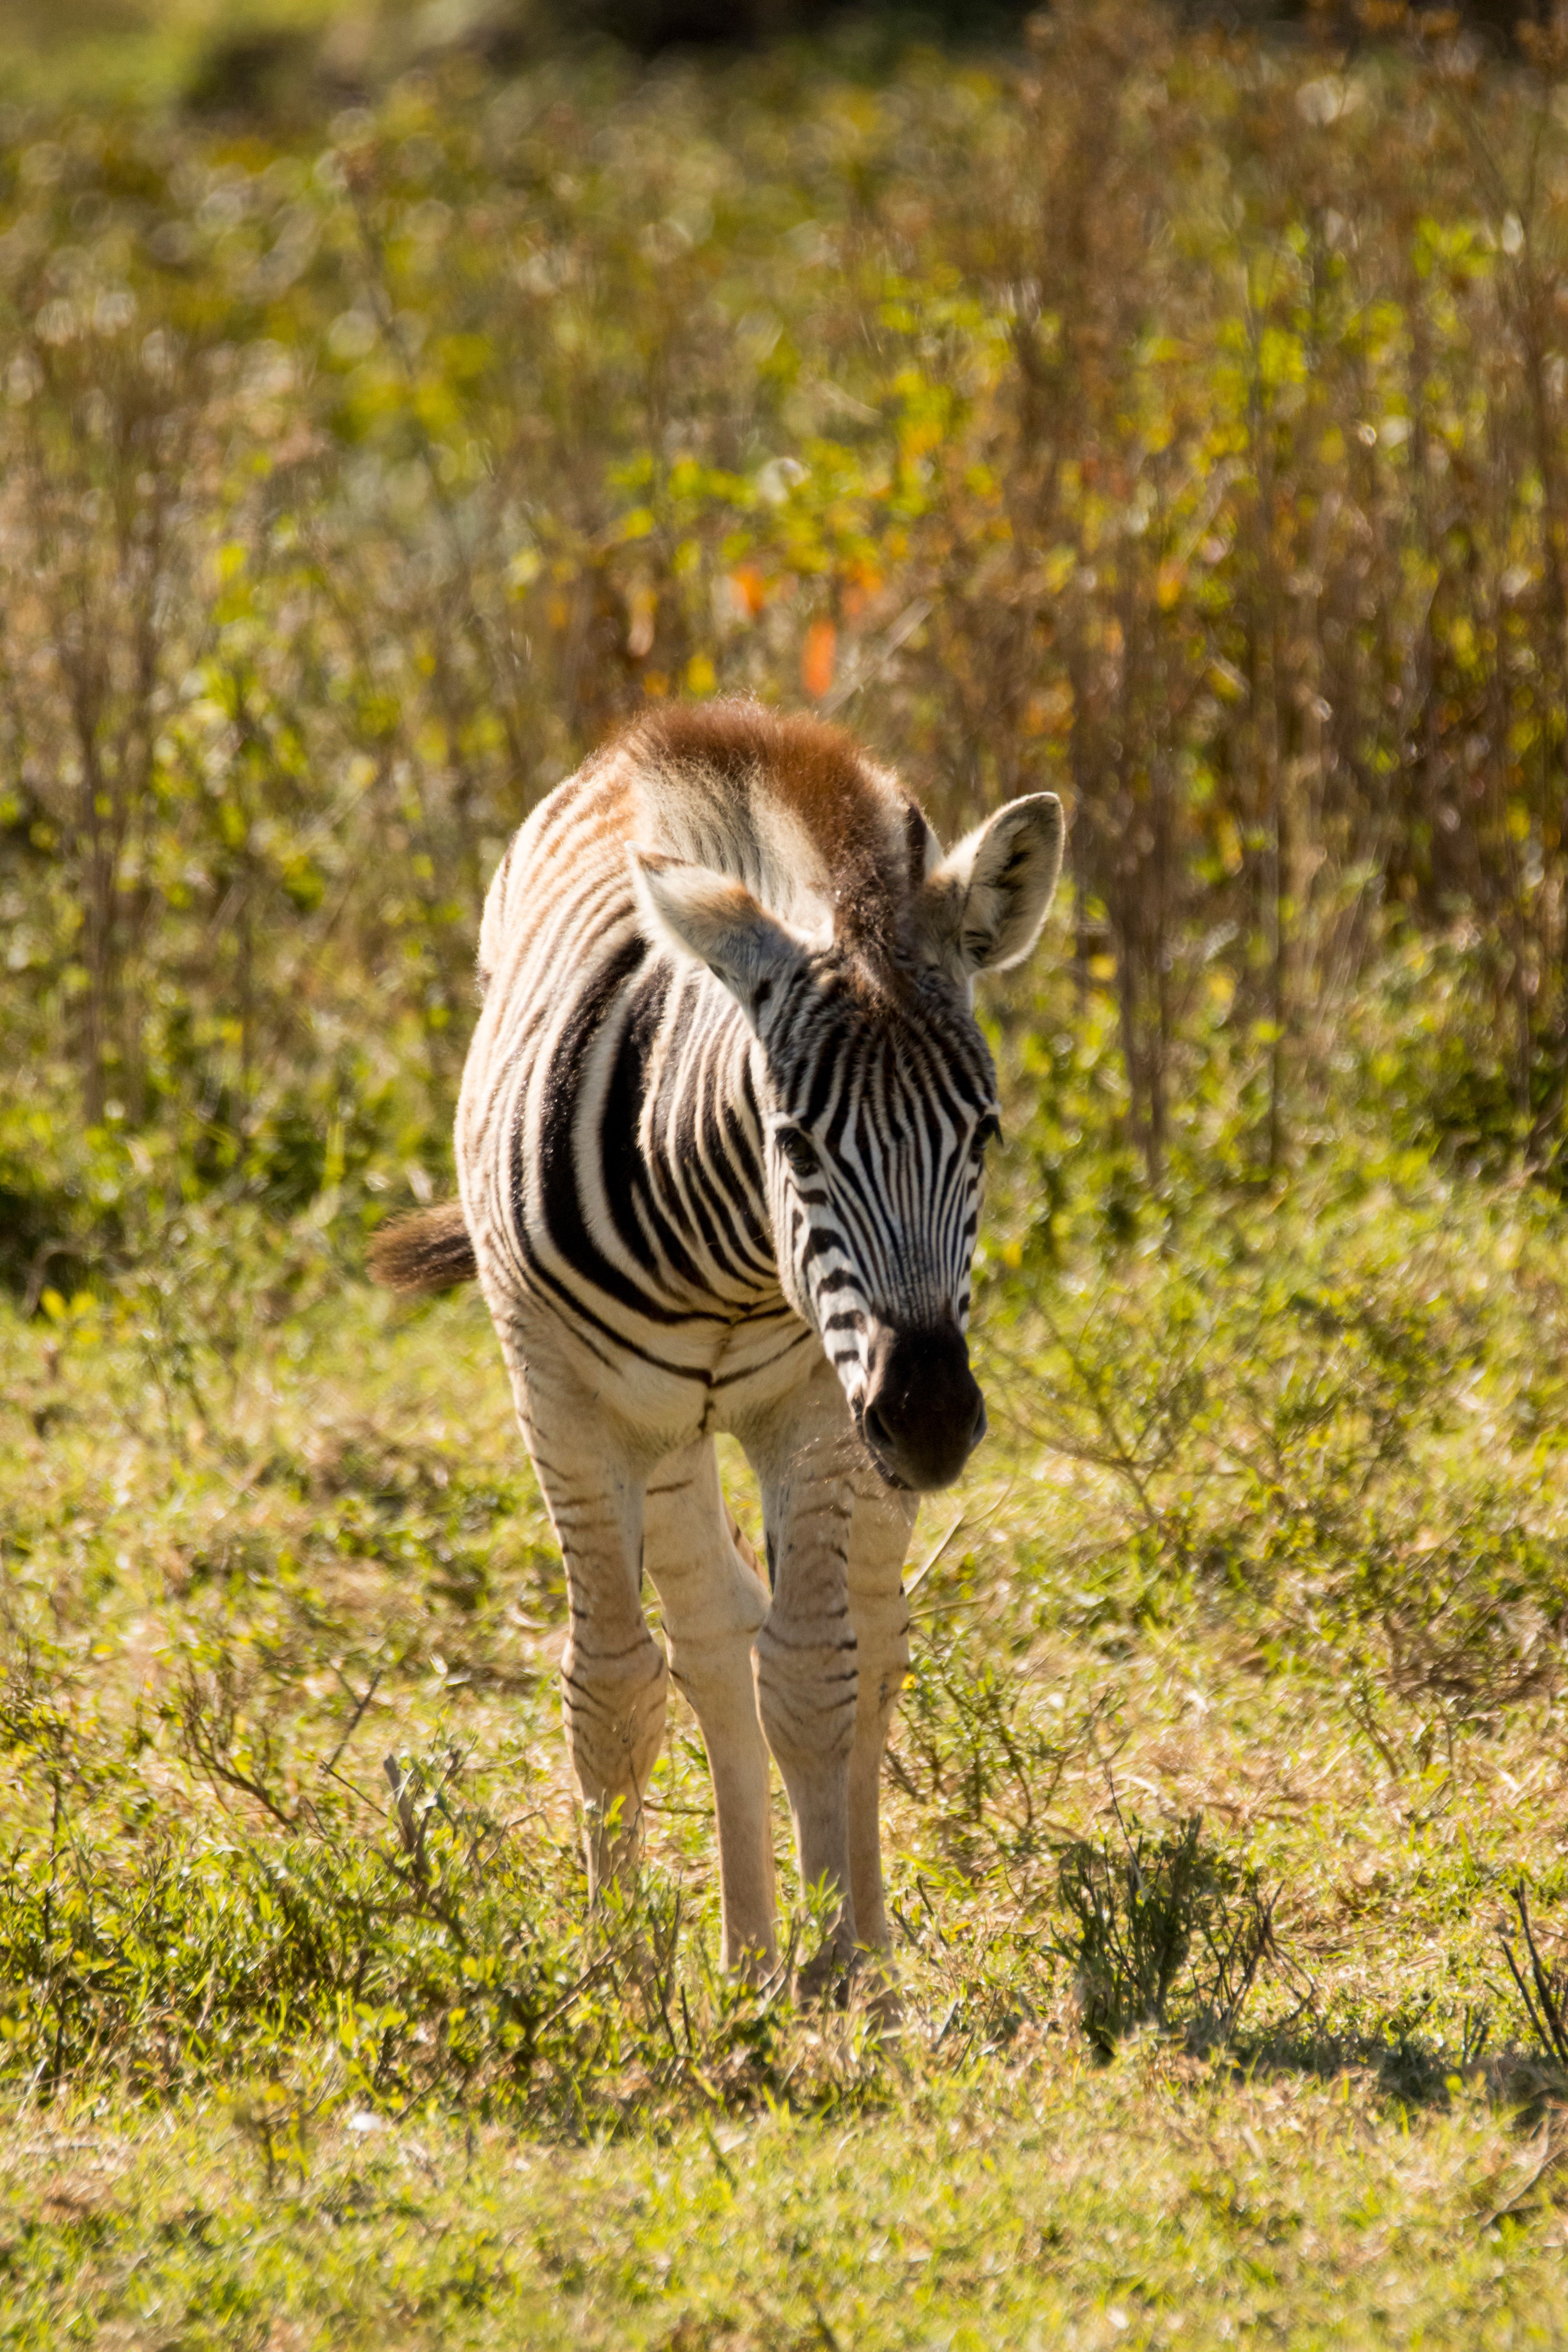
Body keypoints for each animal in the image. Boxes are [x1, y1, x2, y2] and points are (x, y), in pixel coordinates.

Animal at [371, 701, 1063, 1976]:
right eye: (794, 1142)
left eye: (983, 1134)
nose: (934, 1423)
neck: (728, 1263)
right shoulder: (564, 1399)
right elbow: (612, 1683)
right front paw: (618, 1977)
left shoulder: (823, 1409)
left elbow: (814, 1671)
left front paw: (845, 1973)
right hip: (666, 1426)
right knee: (701, 1637)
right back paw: (743, 1955)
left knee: (868, 1637)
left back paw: (834, 1942)